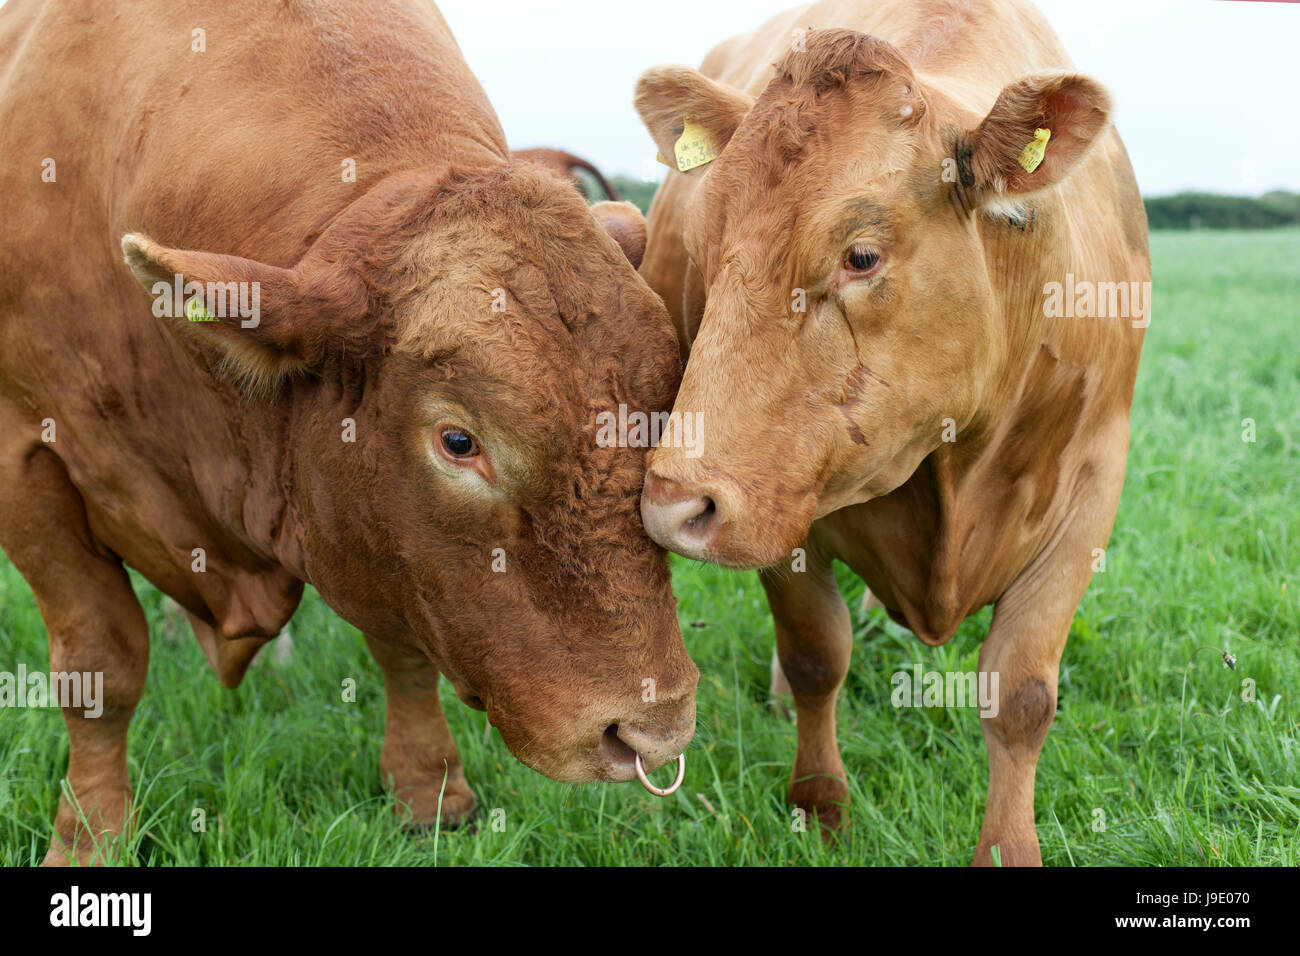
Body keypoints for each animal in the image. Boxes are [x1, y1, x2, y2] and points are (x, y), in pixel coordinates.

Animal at [0, 0, 696, 866]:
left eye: (659, 417)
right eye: (458, 442)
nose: (654, 730)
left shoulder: (378, 540)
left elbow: (403, 645)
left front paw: (430, 793)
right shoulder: (27, 457)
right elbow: (102, 665)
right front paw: (91, 836)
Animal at [633, 0, 1149, 865]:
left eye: (862, 255)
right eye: (704, 248)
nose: (674, 504)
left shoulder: (1093, 486)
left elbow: (1021, 693)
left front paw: (1009, 847)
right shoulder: (790, 501)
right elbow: (816, 655)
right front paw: (819, 807)